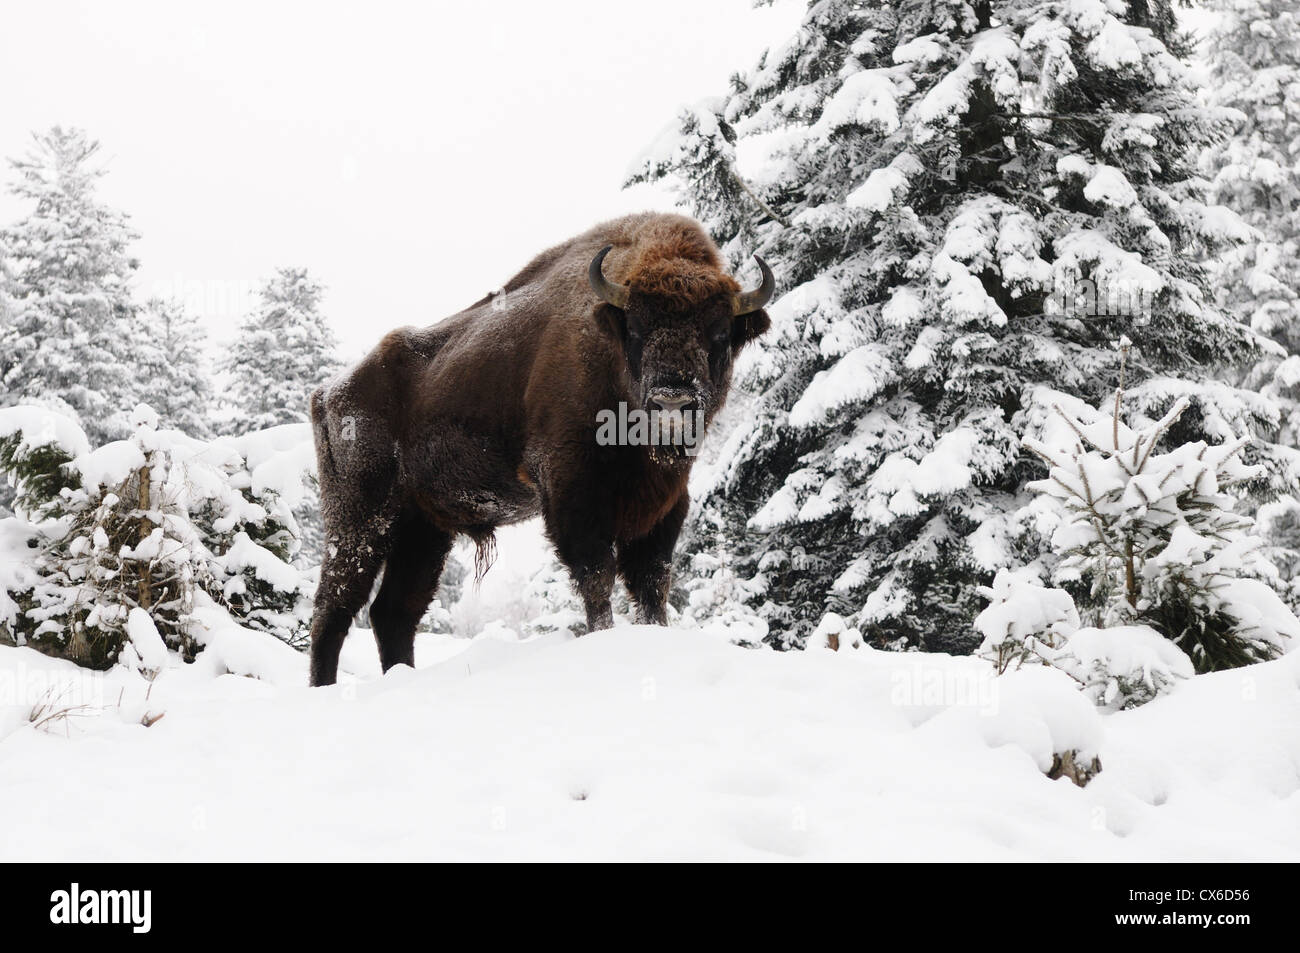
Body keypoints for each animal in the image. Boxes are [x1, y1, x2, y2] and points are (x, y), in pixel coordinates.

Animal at [307, 212, 773, 686]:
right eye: (636, 328)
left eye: (720, 332)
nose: (672, 403)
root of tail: (329, 393)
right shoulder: (572, 495)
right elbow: (597, 578)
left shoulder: (663, 508)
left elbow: (652, 585)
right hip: (361, 519)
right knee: (335, 607)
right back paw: (323, 686)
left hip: (423, 529)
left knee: (394, 612)